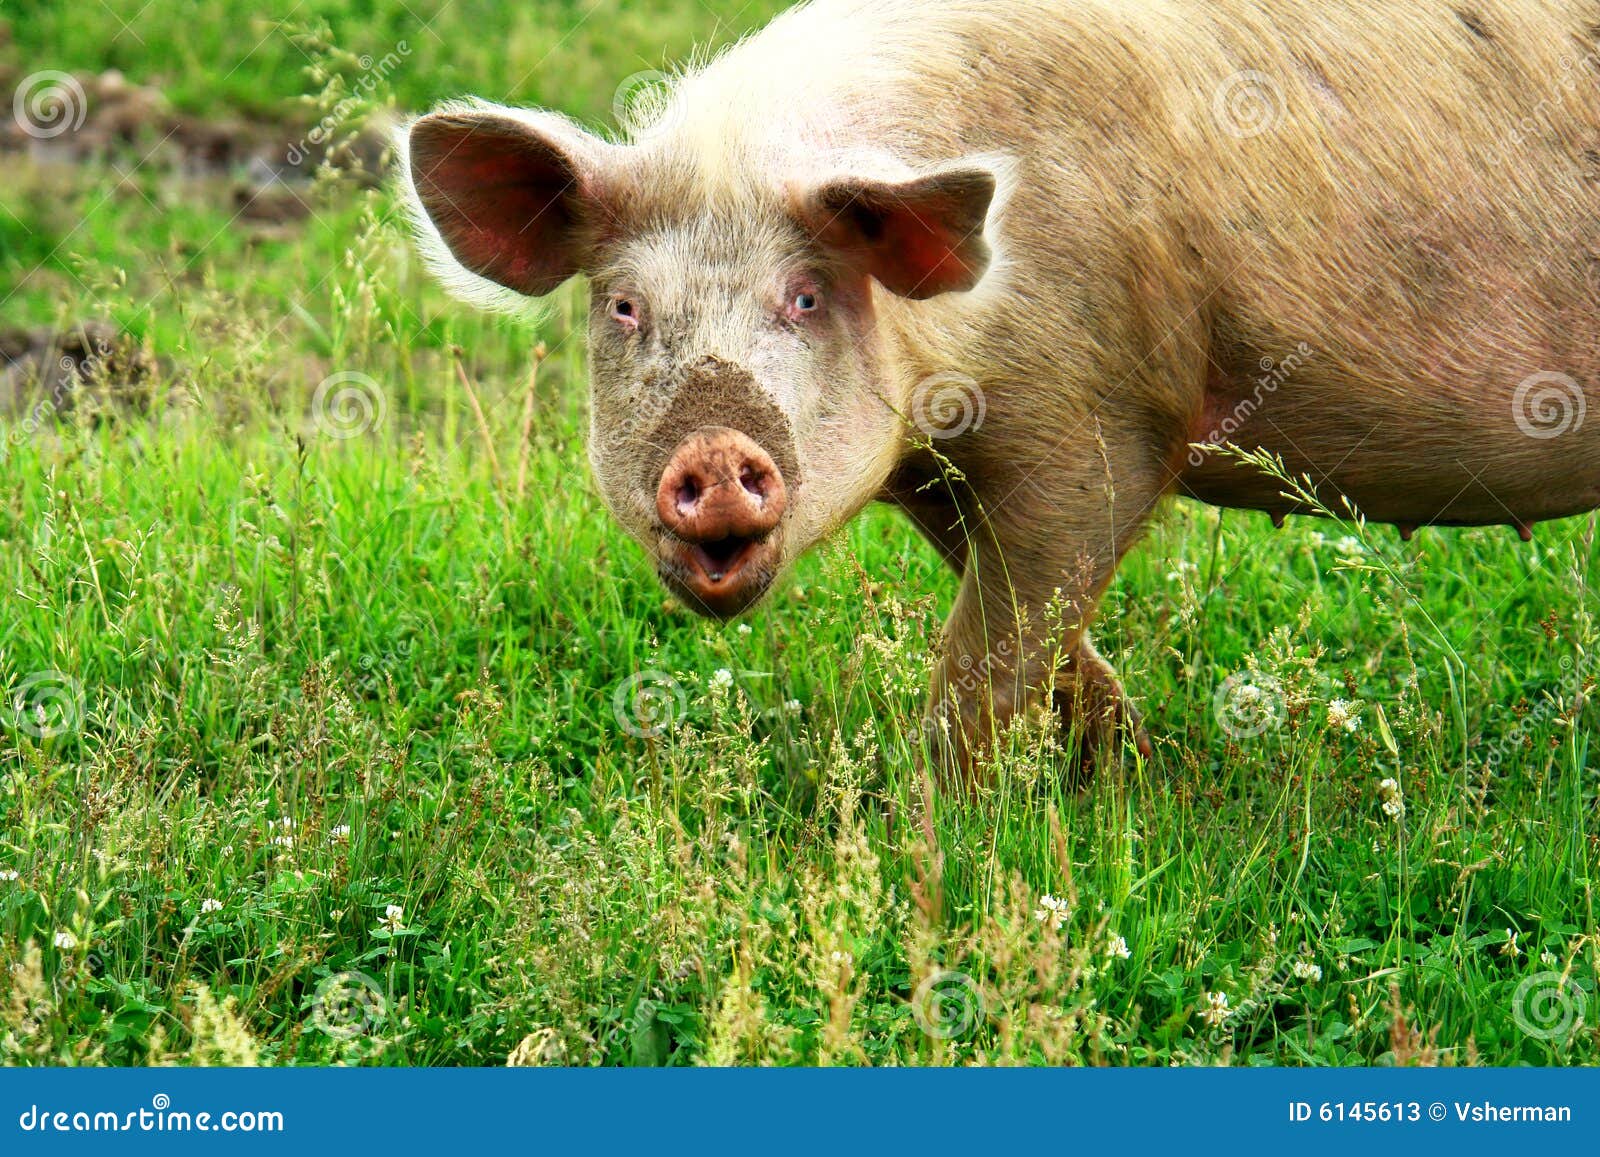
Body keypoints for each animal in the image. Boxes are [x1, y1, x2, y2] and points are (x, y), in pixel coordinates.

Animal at [402, 0, 1600, 778]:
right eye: (623, 306)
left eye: (805, 296)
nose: (714, 454)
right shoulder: (940, 468)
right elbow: (1032, 630)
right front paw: (1135, 770)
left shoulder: (1105, 421)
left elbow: (983, 657)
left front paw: (941, 826)